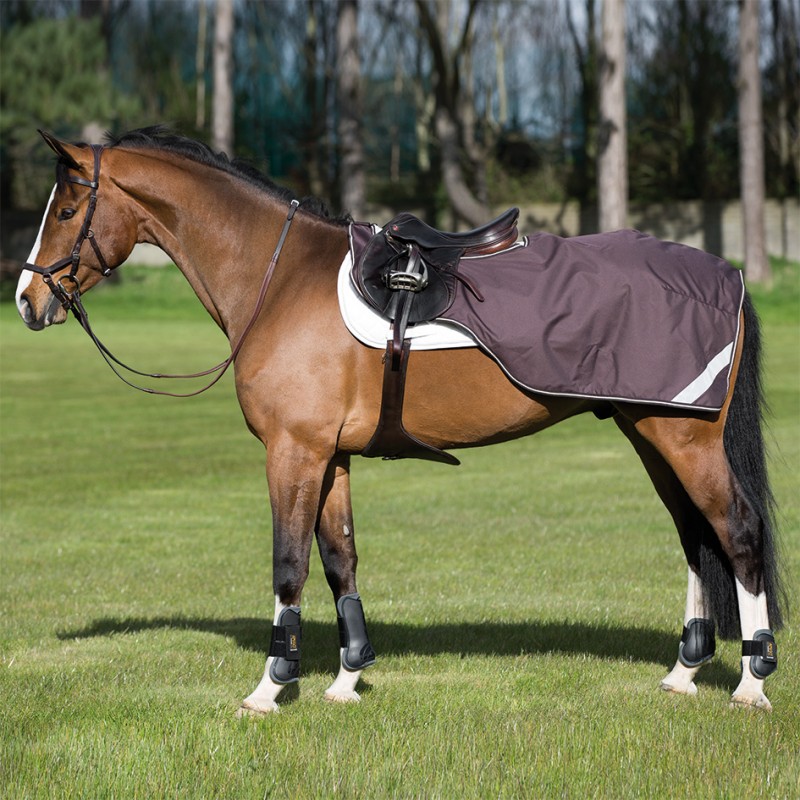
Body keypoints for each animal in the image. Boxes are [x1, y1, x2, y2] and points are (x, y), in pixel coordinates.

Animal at [15, 127, 785, 714]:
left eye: (65, 210)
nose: (26, 300)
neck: (278, 277)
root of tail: (724, 273)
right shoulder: (330, 457)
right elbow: (340, 560)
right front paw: (347, 677)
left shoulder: (292, 452)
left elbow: (289, 565)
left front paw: (270, 687)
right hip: (651, 434)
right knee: (696, 537)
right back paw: (684, 673)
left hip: (683, 439)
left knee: (738, 533)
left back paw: (751, 681)